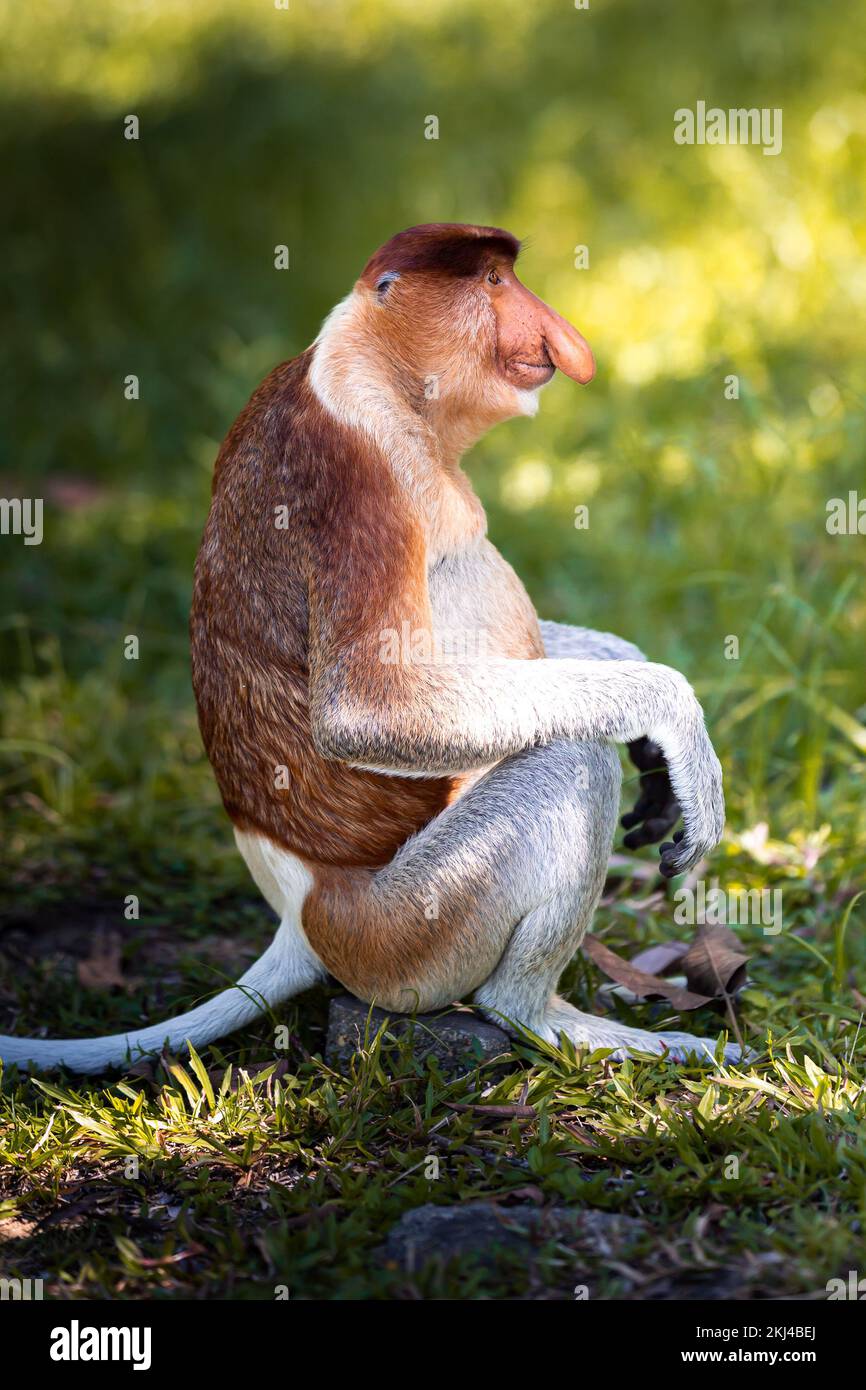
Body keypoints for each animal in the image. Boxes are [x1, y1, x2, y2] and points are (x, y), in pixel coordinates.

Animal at [0, 223, 742, 1074]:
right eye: (493, 281)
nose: (561, 337)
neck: (374, 371)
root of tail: (304, 919)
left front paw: (654, 747)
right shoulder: (355, 482)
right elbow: (366, 707)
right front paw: (674, 717)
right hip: (408, 925)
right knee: (568, 759)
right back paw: (545, 1017)